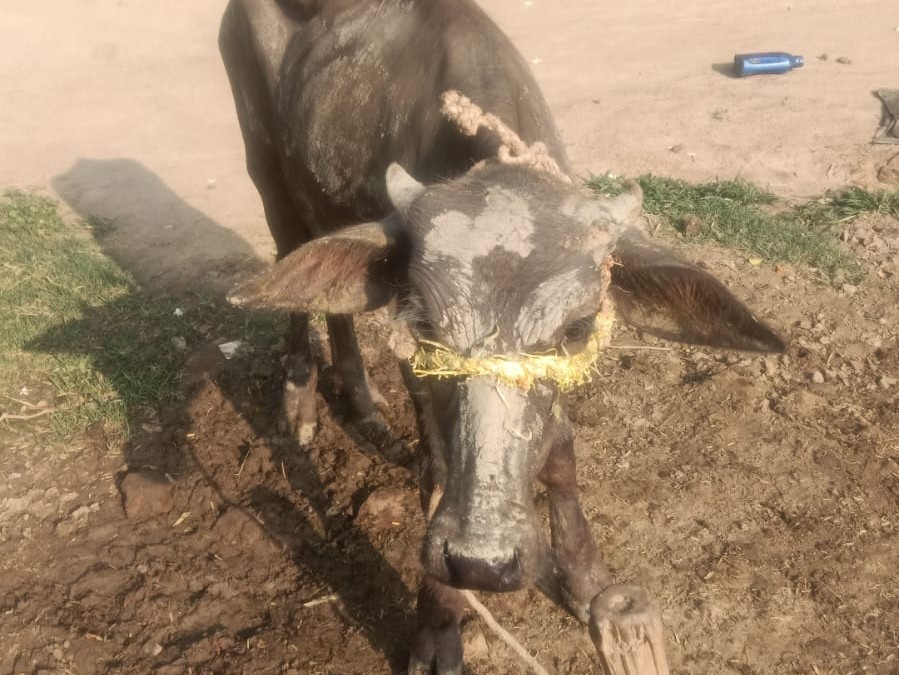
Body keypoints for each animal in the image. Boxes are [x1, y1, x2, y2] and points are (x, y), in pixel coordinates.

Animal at [219, 1, 785, 673]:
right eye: (427, 326)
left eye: (575, 329)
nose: (481, 563)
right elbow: (438, 465)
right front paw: (439, 624)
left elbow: (561, 452)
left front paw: (584, 578)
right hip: (263, 166)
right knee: (291, 268)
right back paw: (302, 403)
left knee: (336, 302)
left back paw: (362, 402)